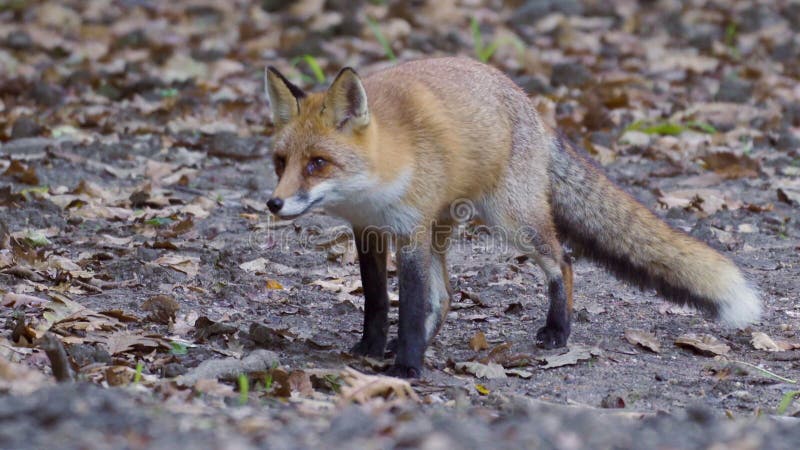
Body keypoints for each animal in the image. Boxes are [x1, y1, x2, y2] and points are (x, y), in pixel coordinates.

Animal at [263, 57, 761, 378]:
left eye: (318, 163)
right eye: (281, 162)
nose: (274, 204)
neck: (387, 164)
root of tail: (532, 108)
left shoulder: (410, 232)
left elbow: (410, 304)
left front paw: (406, 367)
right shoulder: (367, 229)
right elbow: (377, 300)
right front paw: (370, 348)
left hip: (509, 219)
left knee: (563, 261)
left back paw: (558, 331)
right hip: (450, 227)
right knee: (447, 296)